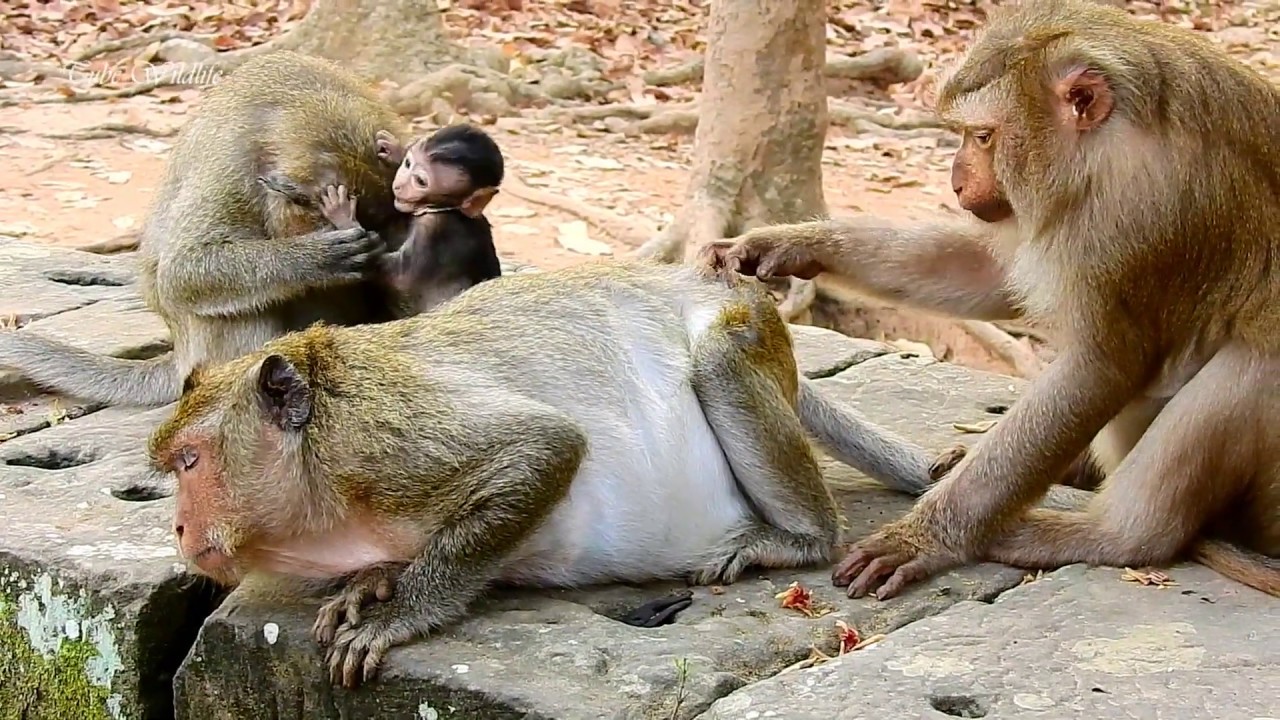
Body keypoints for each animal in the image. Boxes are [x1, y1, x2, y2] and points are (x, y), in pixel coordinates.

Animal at [147, 259, 957, 689]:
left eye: (191, 461)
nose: (180, 525)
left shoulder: (378, 441)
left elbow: (544, 447)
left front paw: (400, 609)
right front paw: (373, 580)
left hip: (747, 338)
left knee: (721, 364)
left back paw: (797, 538)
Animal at [255, 123, 504, 316]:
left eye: (420, 181)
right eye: (408, 164)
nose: (400, 186)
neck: (447, 210)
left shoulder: (435, 229)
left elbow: (398, 277)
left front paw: (342, 215)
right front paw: (394, 150)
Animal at [697, 0, 1280, 599]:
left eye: (981, 137)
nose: (956, 181)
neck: (1105, 148)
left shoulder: (1134, 218)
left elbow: (1101, 368)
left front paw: (926, 538)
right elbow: (987, 272)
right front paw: (790, 243)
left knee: (1255, 364)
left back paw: (1116, 534)